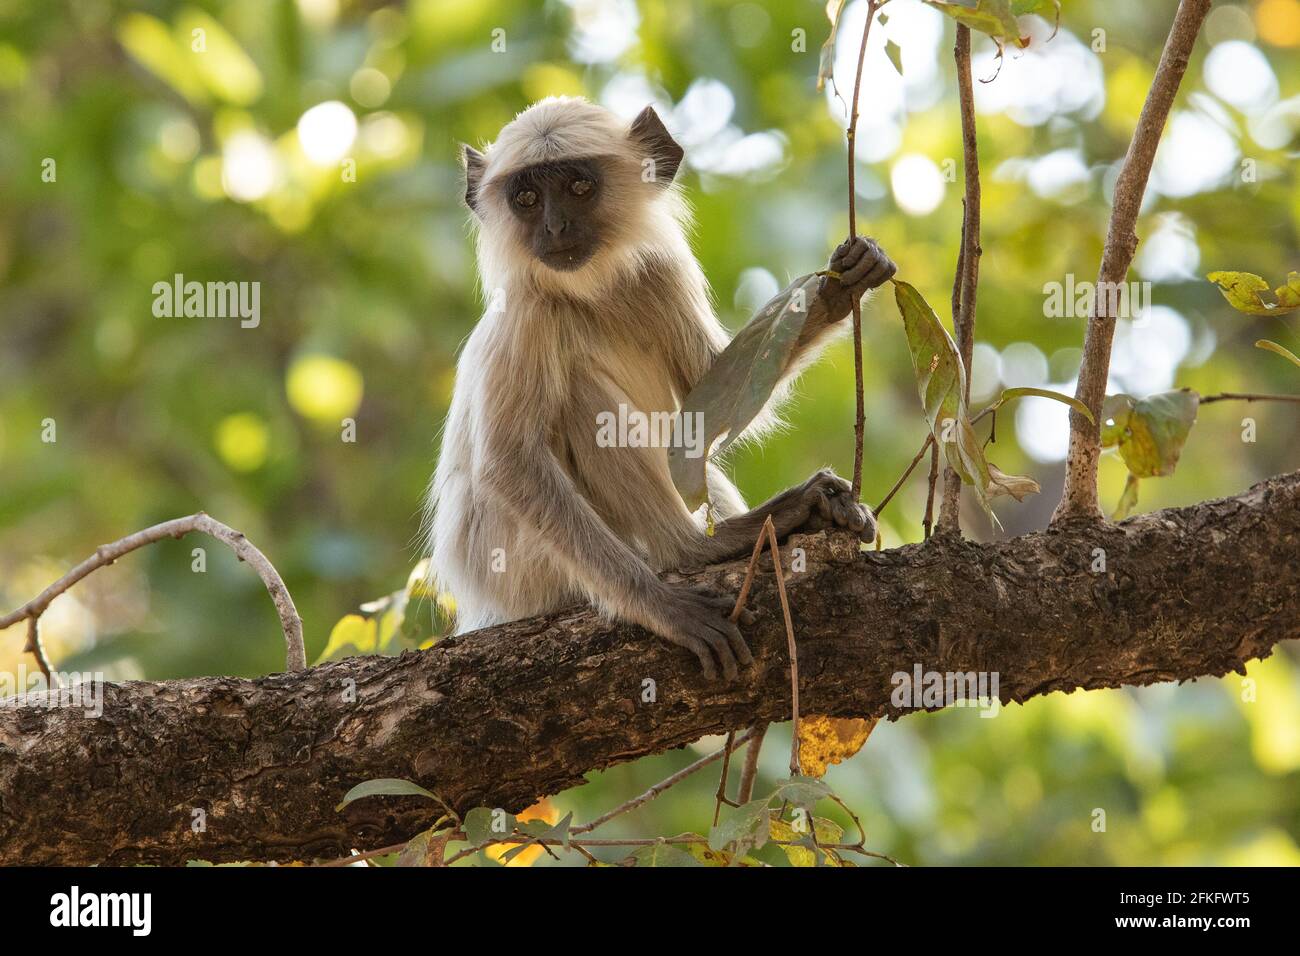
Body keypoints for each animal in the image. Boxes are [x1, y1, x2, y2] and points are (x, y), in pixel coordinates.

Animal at [427, 97, 896, 680]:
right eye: (527, 198)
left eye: (579, 186)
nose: (554, 227)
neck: (591, 289)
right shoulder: (526, 307)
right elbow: (508, 464)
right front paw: (662, 606)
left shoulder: (659, 271)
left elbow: (716, 390)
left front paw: (844, 283)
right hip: (517, 565)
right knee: (580, 401)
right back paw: (700, 550)